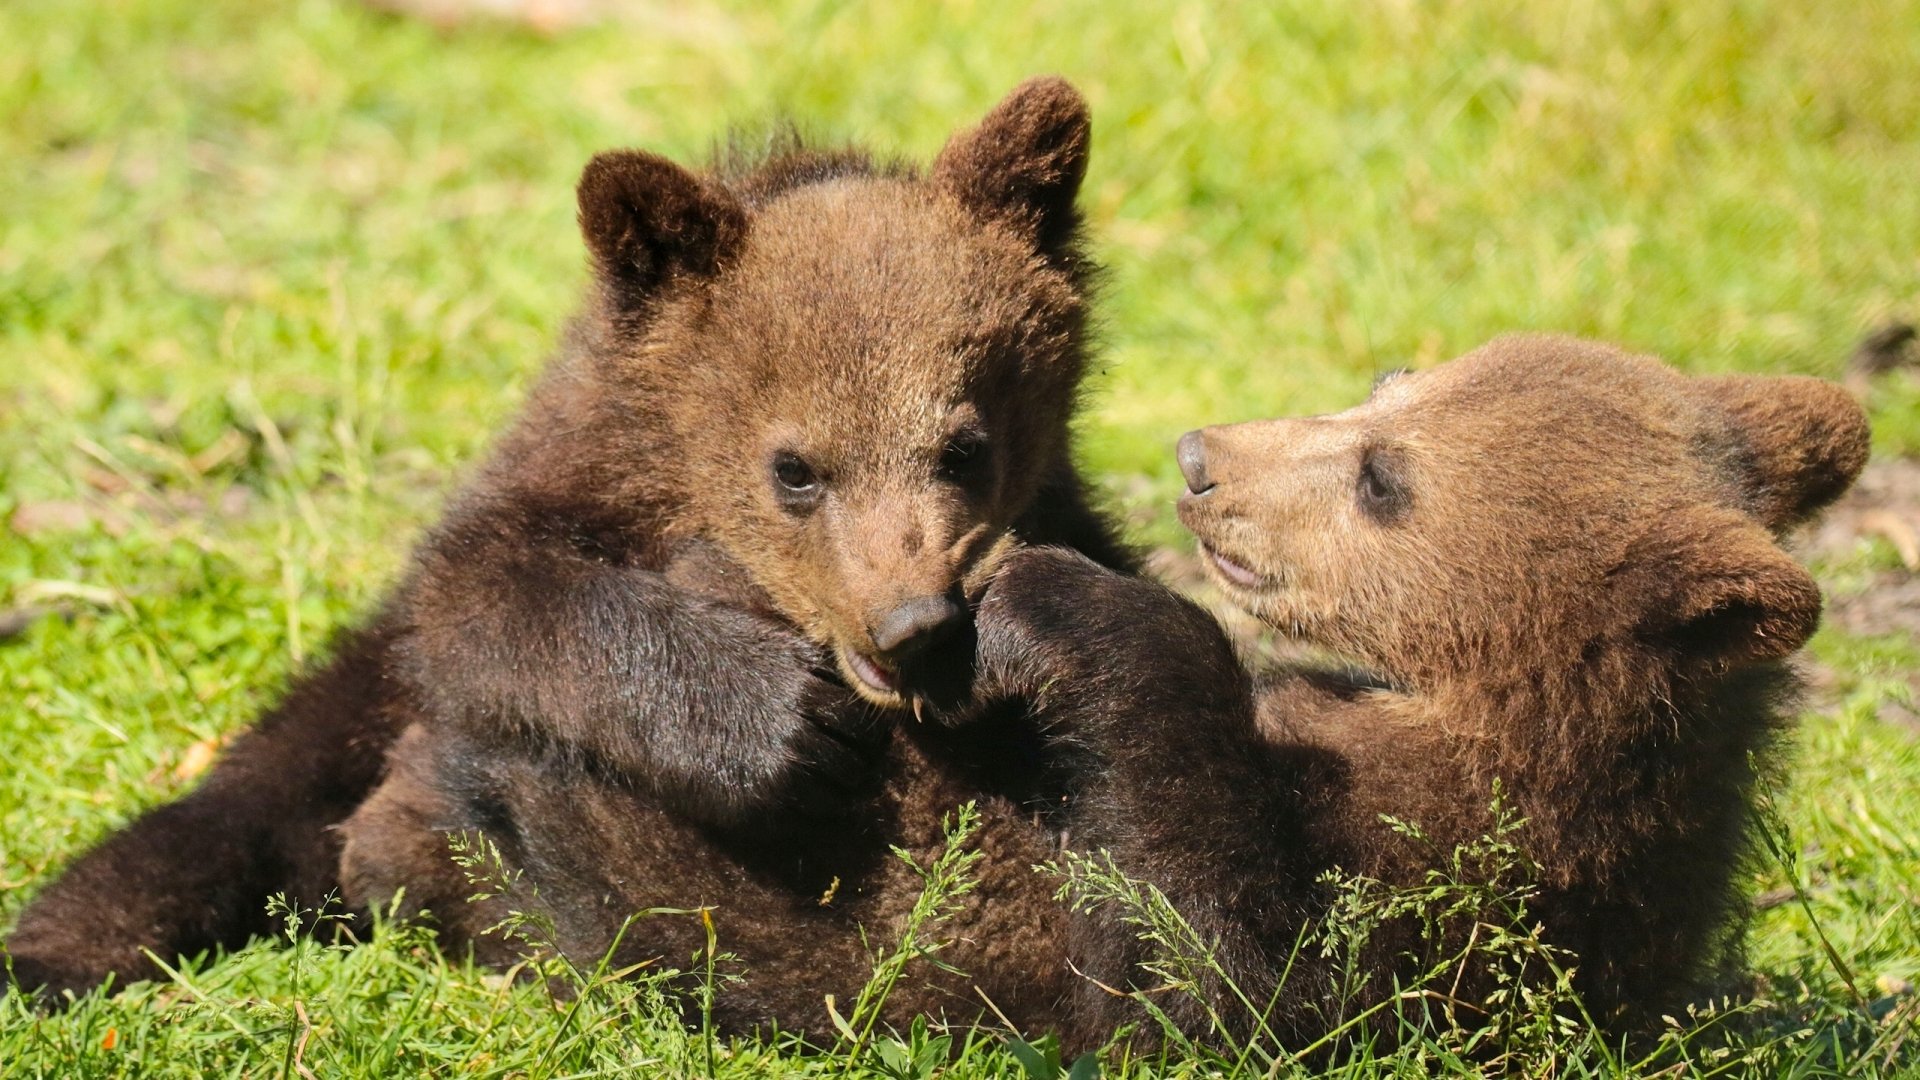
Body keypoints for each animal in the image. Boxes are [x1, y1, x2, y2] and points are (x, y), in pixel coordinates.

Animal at [3, 76, 1134, 1004]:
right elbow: (486, 605)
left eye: (966, 444)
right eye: (794, 467)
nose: (911, 625)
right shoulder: (558, 479)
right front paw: (779, 721)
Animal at [964, 333, 1870, 1050]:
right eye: (1385, 384)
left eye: (1380, 482)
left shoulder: (1457, 883)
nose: (1199, 460)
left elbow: (1220, 982)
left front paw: (1050, 601)